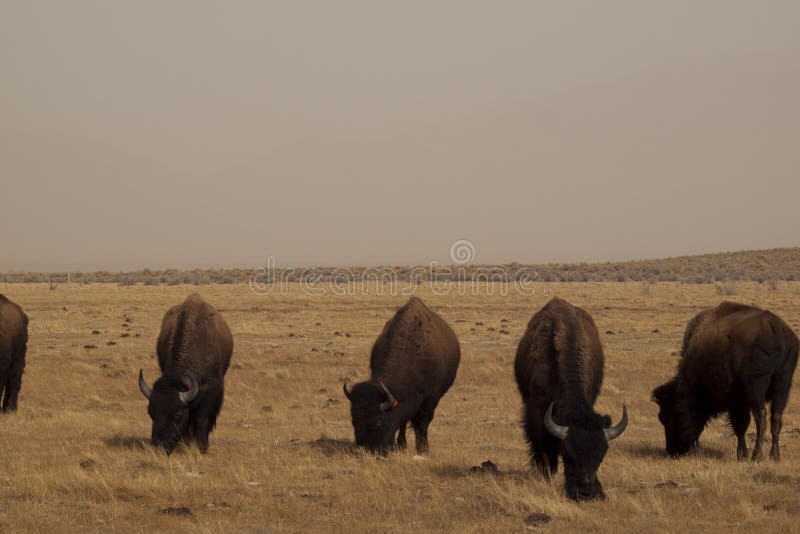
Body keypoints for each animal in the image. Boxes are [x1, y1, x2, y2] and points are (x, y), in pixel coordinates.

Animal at [138, 294, 233, 454]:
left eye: (177, 414)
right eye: (150, 412)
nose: (159, 446)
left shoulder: (211, 393)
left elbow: (202, 421)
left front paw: (202, 448)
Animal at [343, 297, 460, 453]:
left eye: (379, 421)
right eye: (354, 420)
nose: (367, 448)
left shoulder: (430, 398)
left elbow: (422, 422)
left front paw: (423, 448)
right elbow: (403, 420)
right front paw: (401, 445)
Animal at [515, 297, 627, 501]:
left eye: (601, 455)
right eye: (567, 454)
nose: (585, 493)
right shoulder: (536, 409)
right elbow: (541, 441)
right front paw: (545, 474)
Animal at [652, 301, 799, 461]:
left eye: (665, 417)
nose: (672, 450)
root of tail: (774, 328)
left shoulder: (736, 401)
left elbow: (740, 426)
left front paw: (742, 455)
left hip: (757, 386)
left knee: (761, 417)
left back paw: (757, 456)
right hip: (783, 383)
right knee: (776, 418)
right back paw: (775, 456)